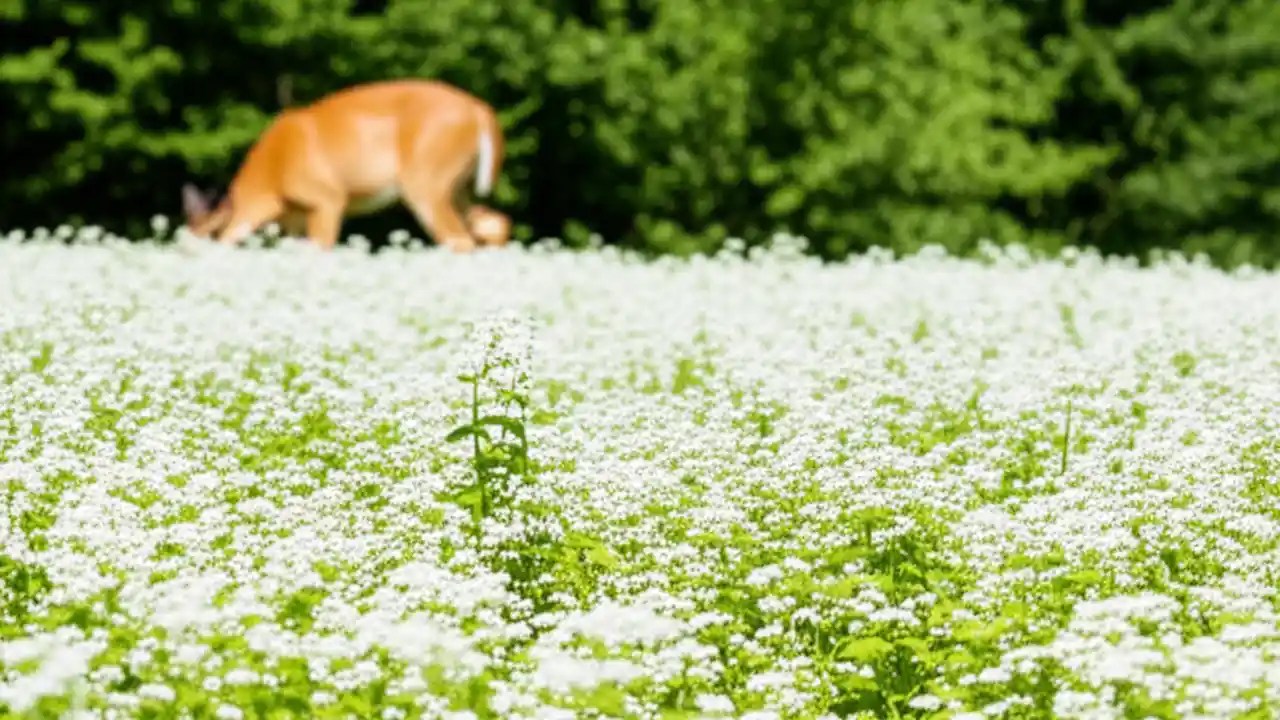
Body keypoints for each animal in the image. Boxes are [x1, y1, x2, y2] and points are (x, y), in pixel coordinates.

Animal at [180, 79, 512, 252]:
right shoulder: (295, 217)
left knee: (459, 239)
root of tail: (480, 112)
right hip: (458, 187)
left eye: (201, 242)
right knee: (494, 223)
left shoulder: (326, 198)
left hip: (427, 181)